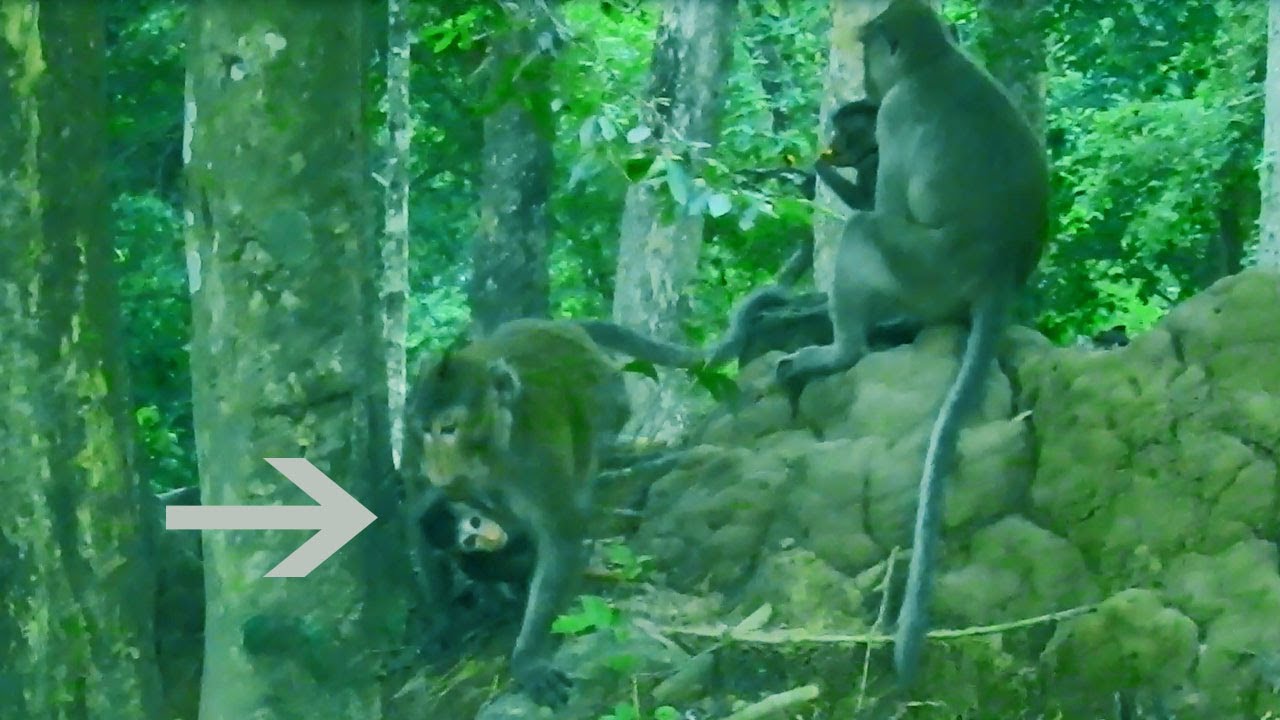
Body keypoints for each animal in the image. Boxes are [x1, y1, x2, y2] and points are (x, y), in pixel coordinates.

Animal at [401, 318, 629, 707]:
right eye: (425, 430)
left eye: (449, 428)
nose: (436, 470)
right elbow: (421, 524)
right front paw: (443, 623)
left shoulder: (537, 460)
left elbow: (561, 538)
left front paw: (528, 659)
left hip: (608, 401)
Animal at [773, 0, 1049, 688]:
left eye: (873, 53)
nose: (865, 79)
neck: (936, 62)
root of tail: (997, 274)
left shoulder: (896, 114)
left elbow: (883, 202)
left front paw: (814, 171)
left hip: (924, 272)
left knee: (869, 229)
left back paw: (840, 350)